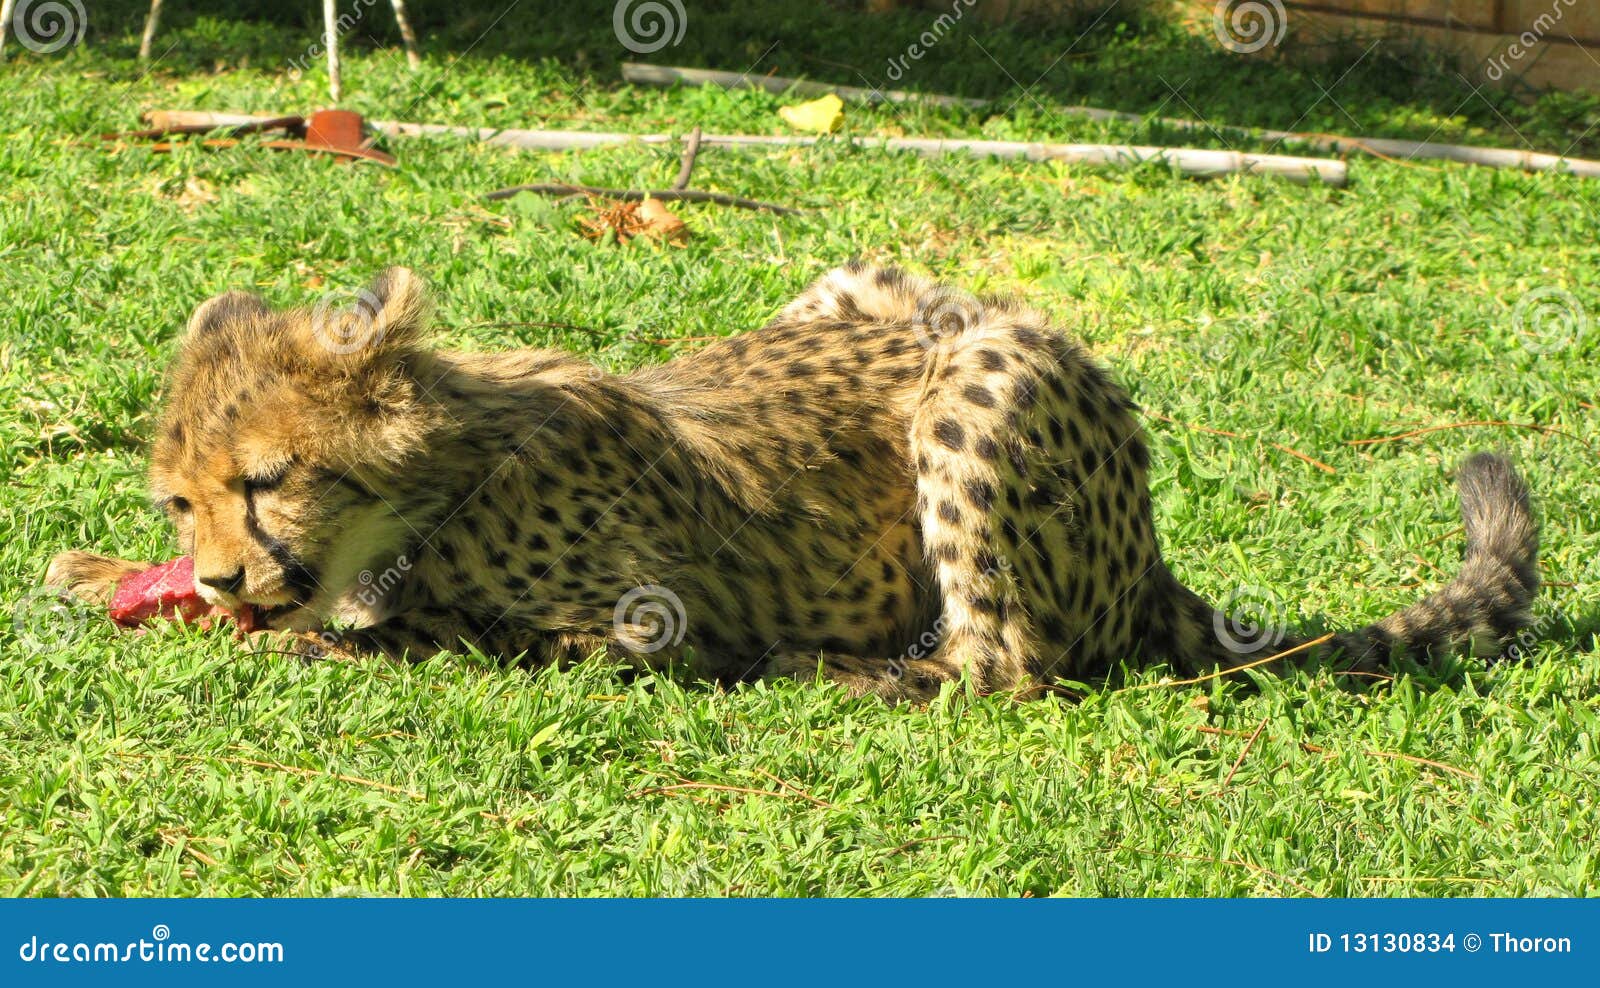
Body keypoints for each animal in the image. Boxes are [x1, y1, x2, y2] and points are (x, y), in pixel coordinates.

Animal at [46, 264, 1541, 702]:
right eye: (180, 500)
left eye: (269, 478)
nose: (223, 571)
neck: (451, 466)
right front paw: (98, 573)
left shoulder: (649, 623)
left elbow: (444, 625)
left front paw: (327, 634)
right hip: (866, 282)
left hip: (984, 371)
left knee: (1007, 665)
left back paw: (857, 670)